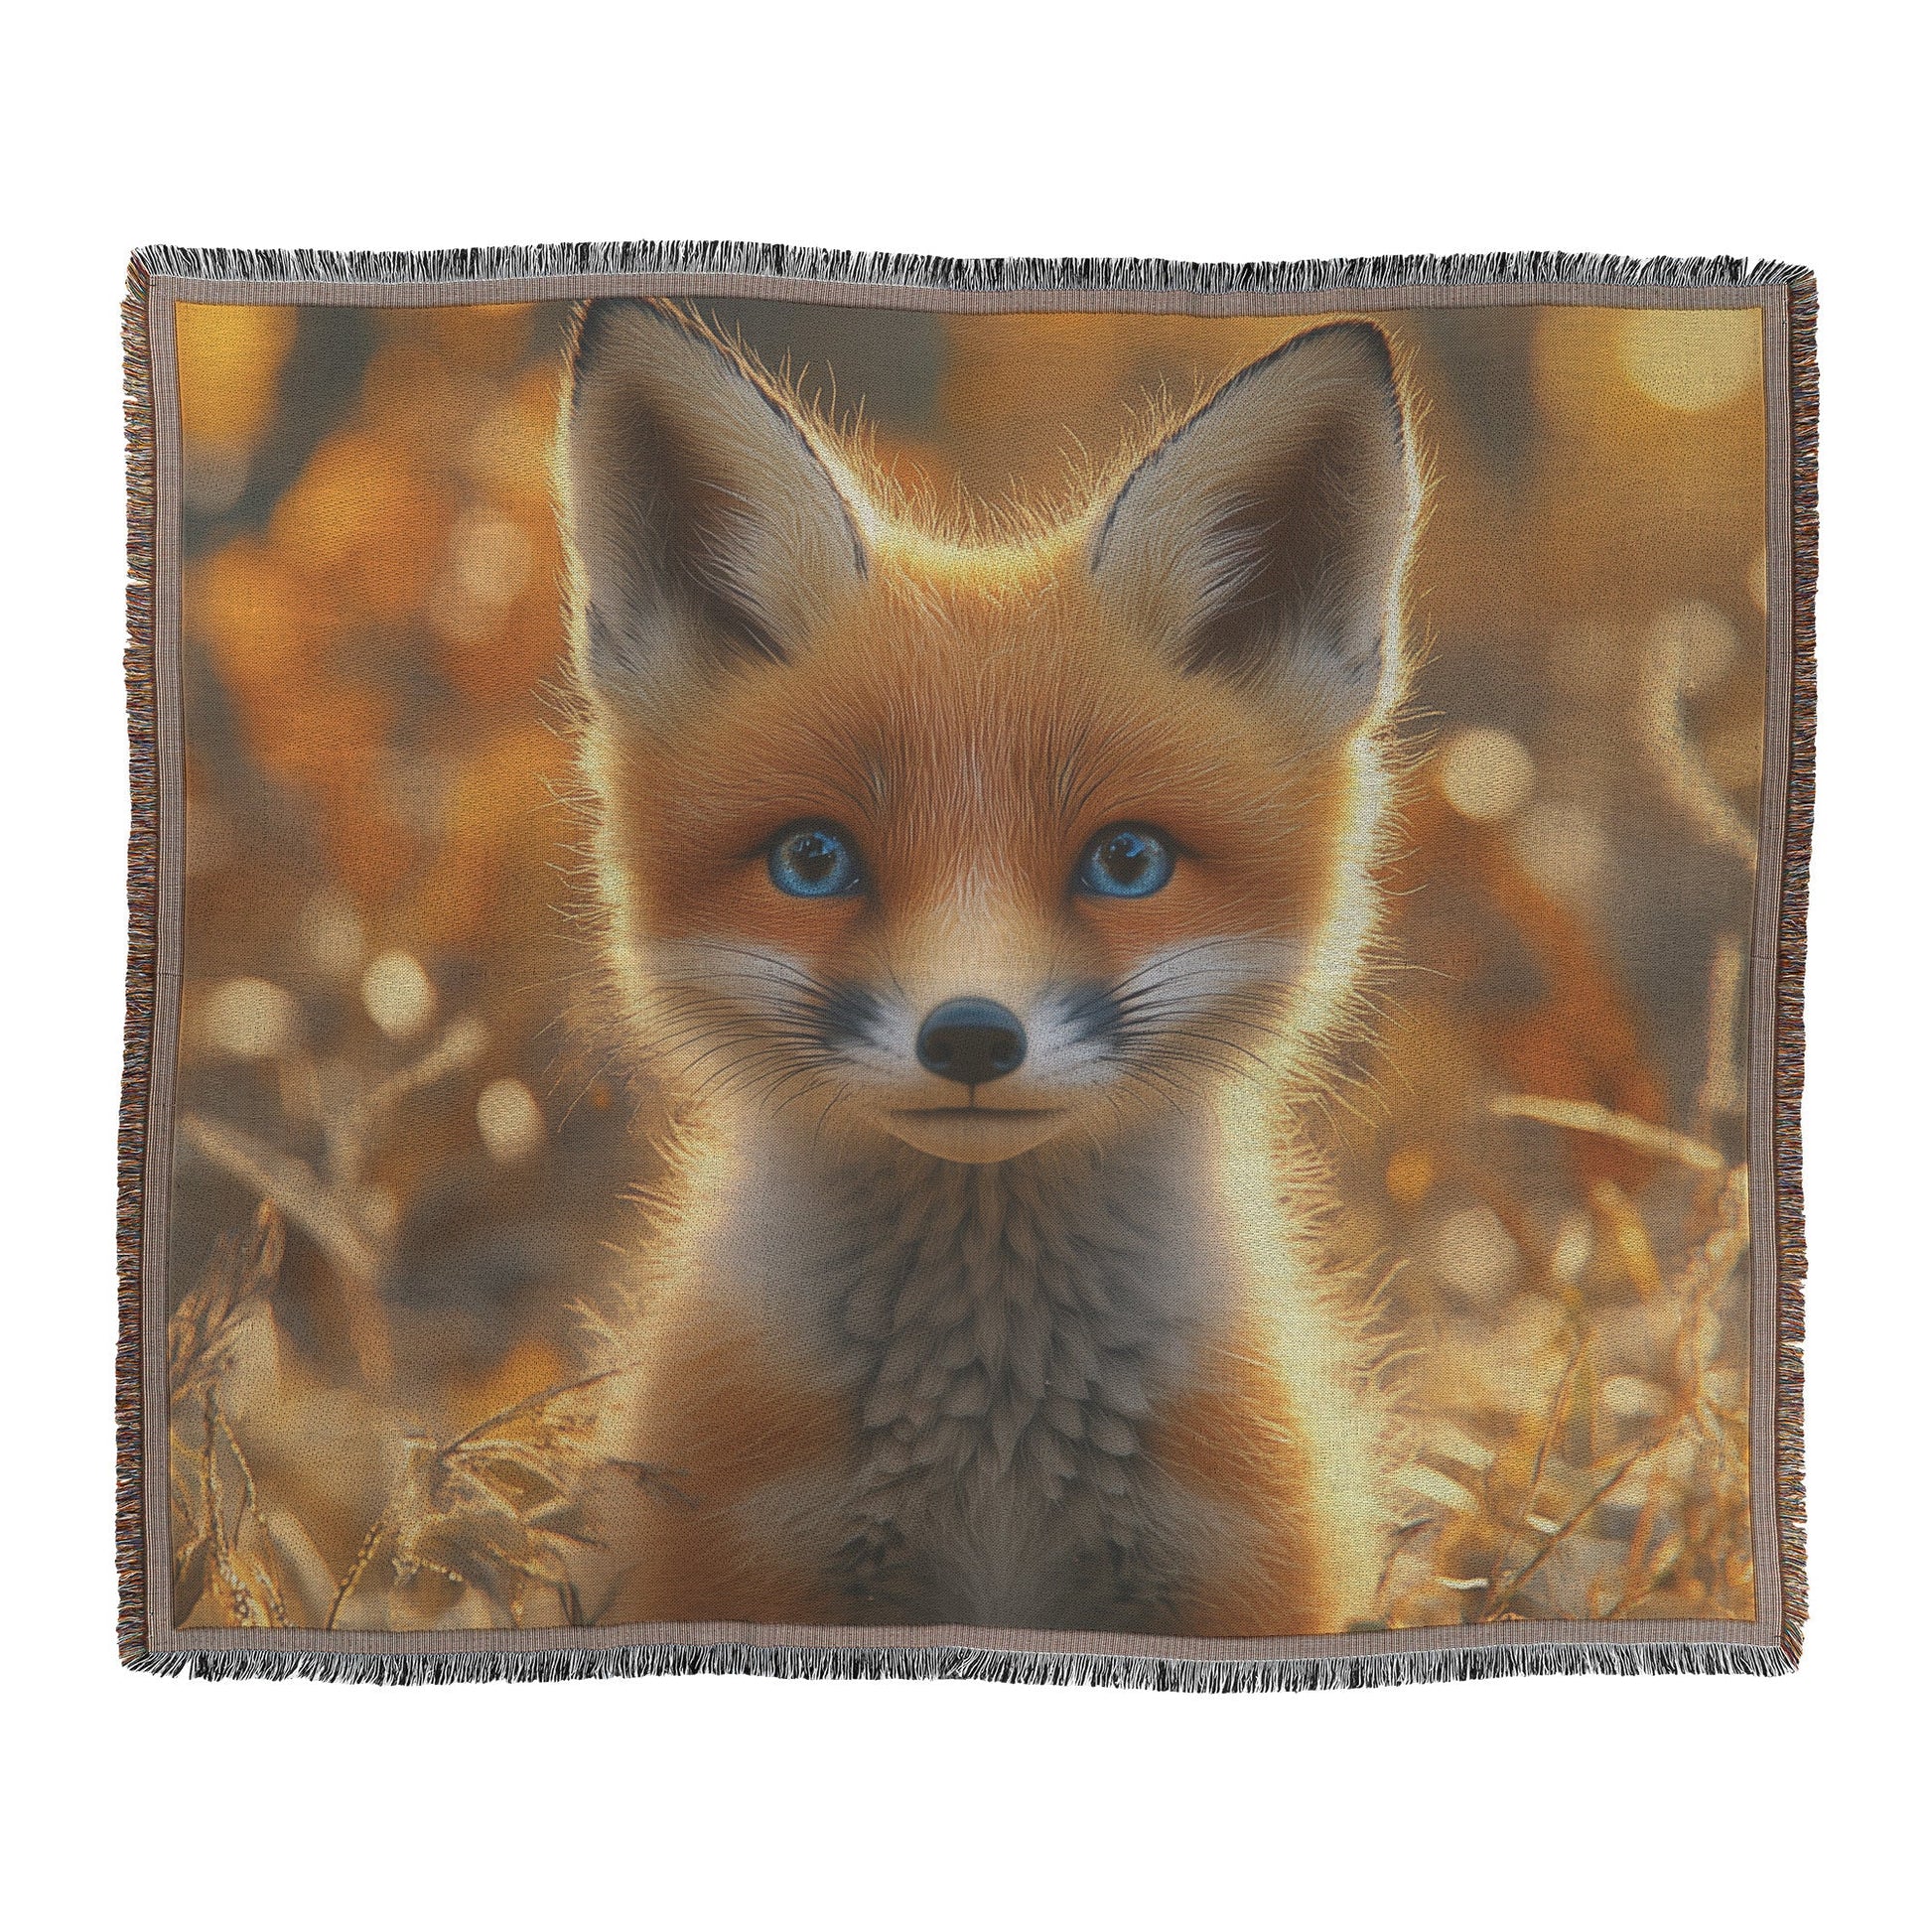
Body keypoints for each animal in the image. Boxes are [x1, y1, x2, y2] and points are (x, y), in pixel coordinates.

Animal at [556, 297, 1420, 1637]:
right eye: (814, 859)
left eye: (1126, 860)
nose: (969, 1036)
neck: (992, 1447)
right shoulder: (733, 1557)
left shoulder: (1234, 1577)